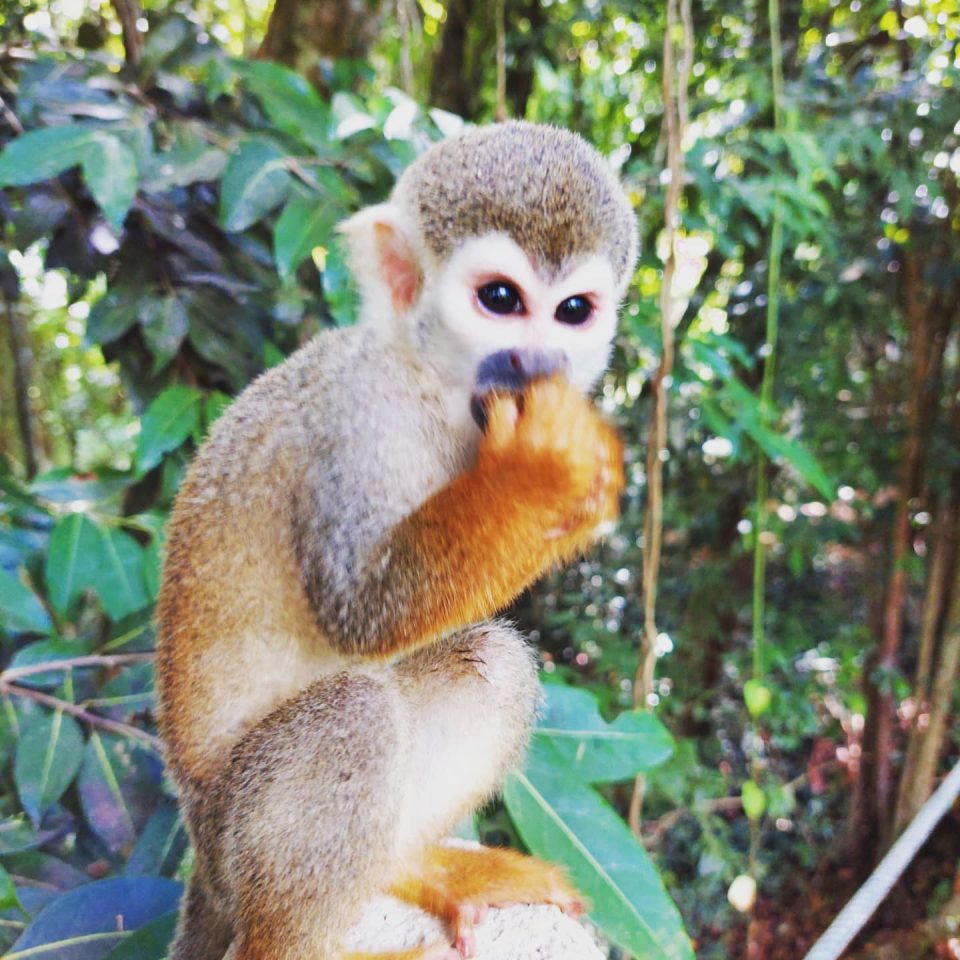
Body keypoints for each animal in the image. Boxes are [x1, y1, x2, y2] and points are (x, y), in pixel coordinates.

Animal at [155, 120, 638, 960]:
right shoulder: (356, 414)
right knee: (355, 716)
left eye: (574, 310)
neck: (434, 392)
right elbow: (362, 613)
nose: (538, 362)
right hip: (232, 835)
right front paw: (540, 477)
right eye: (501, 300)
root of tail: (202, 860)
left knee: (494, 666)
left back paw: (413, 870)